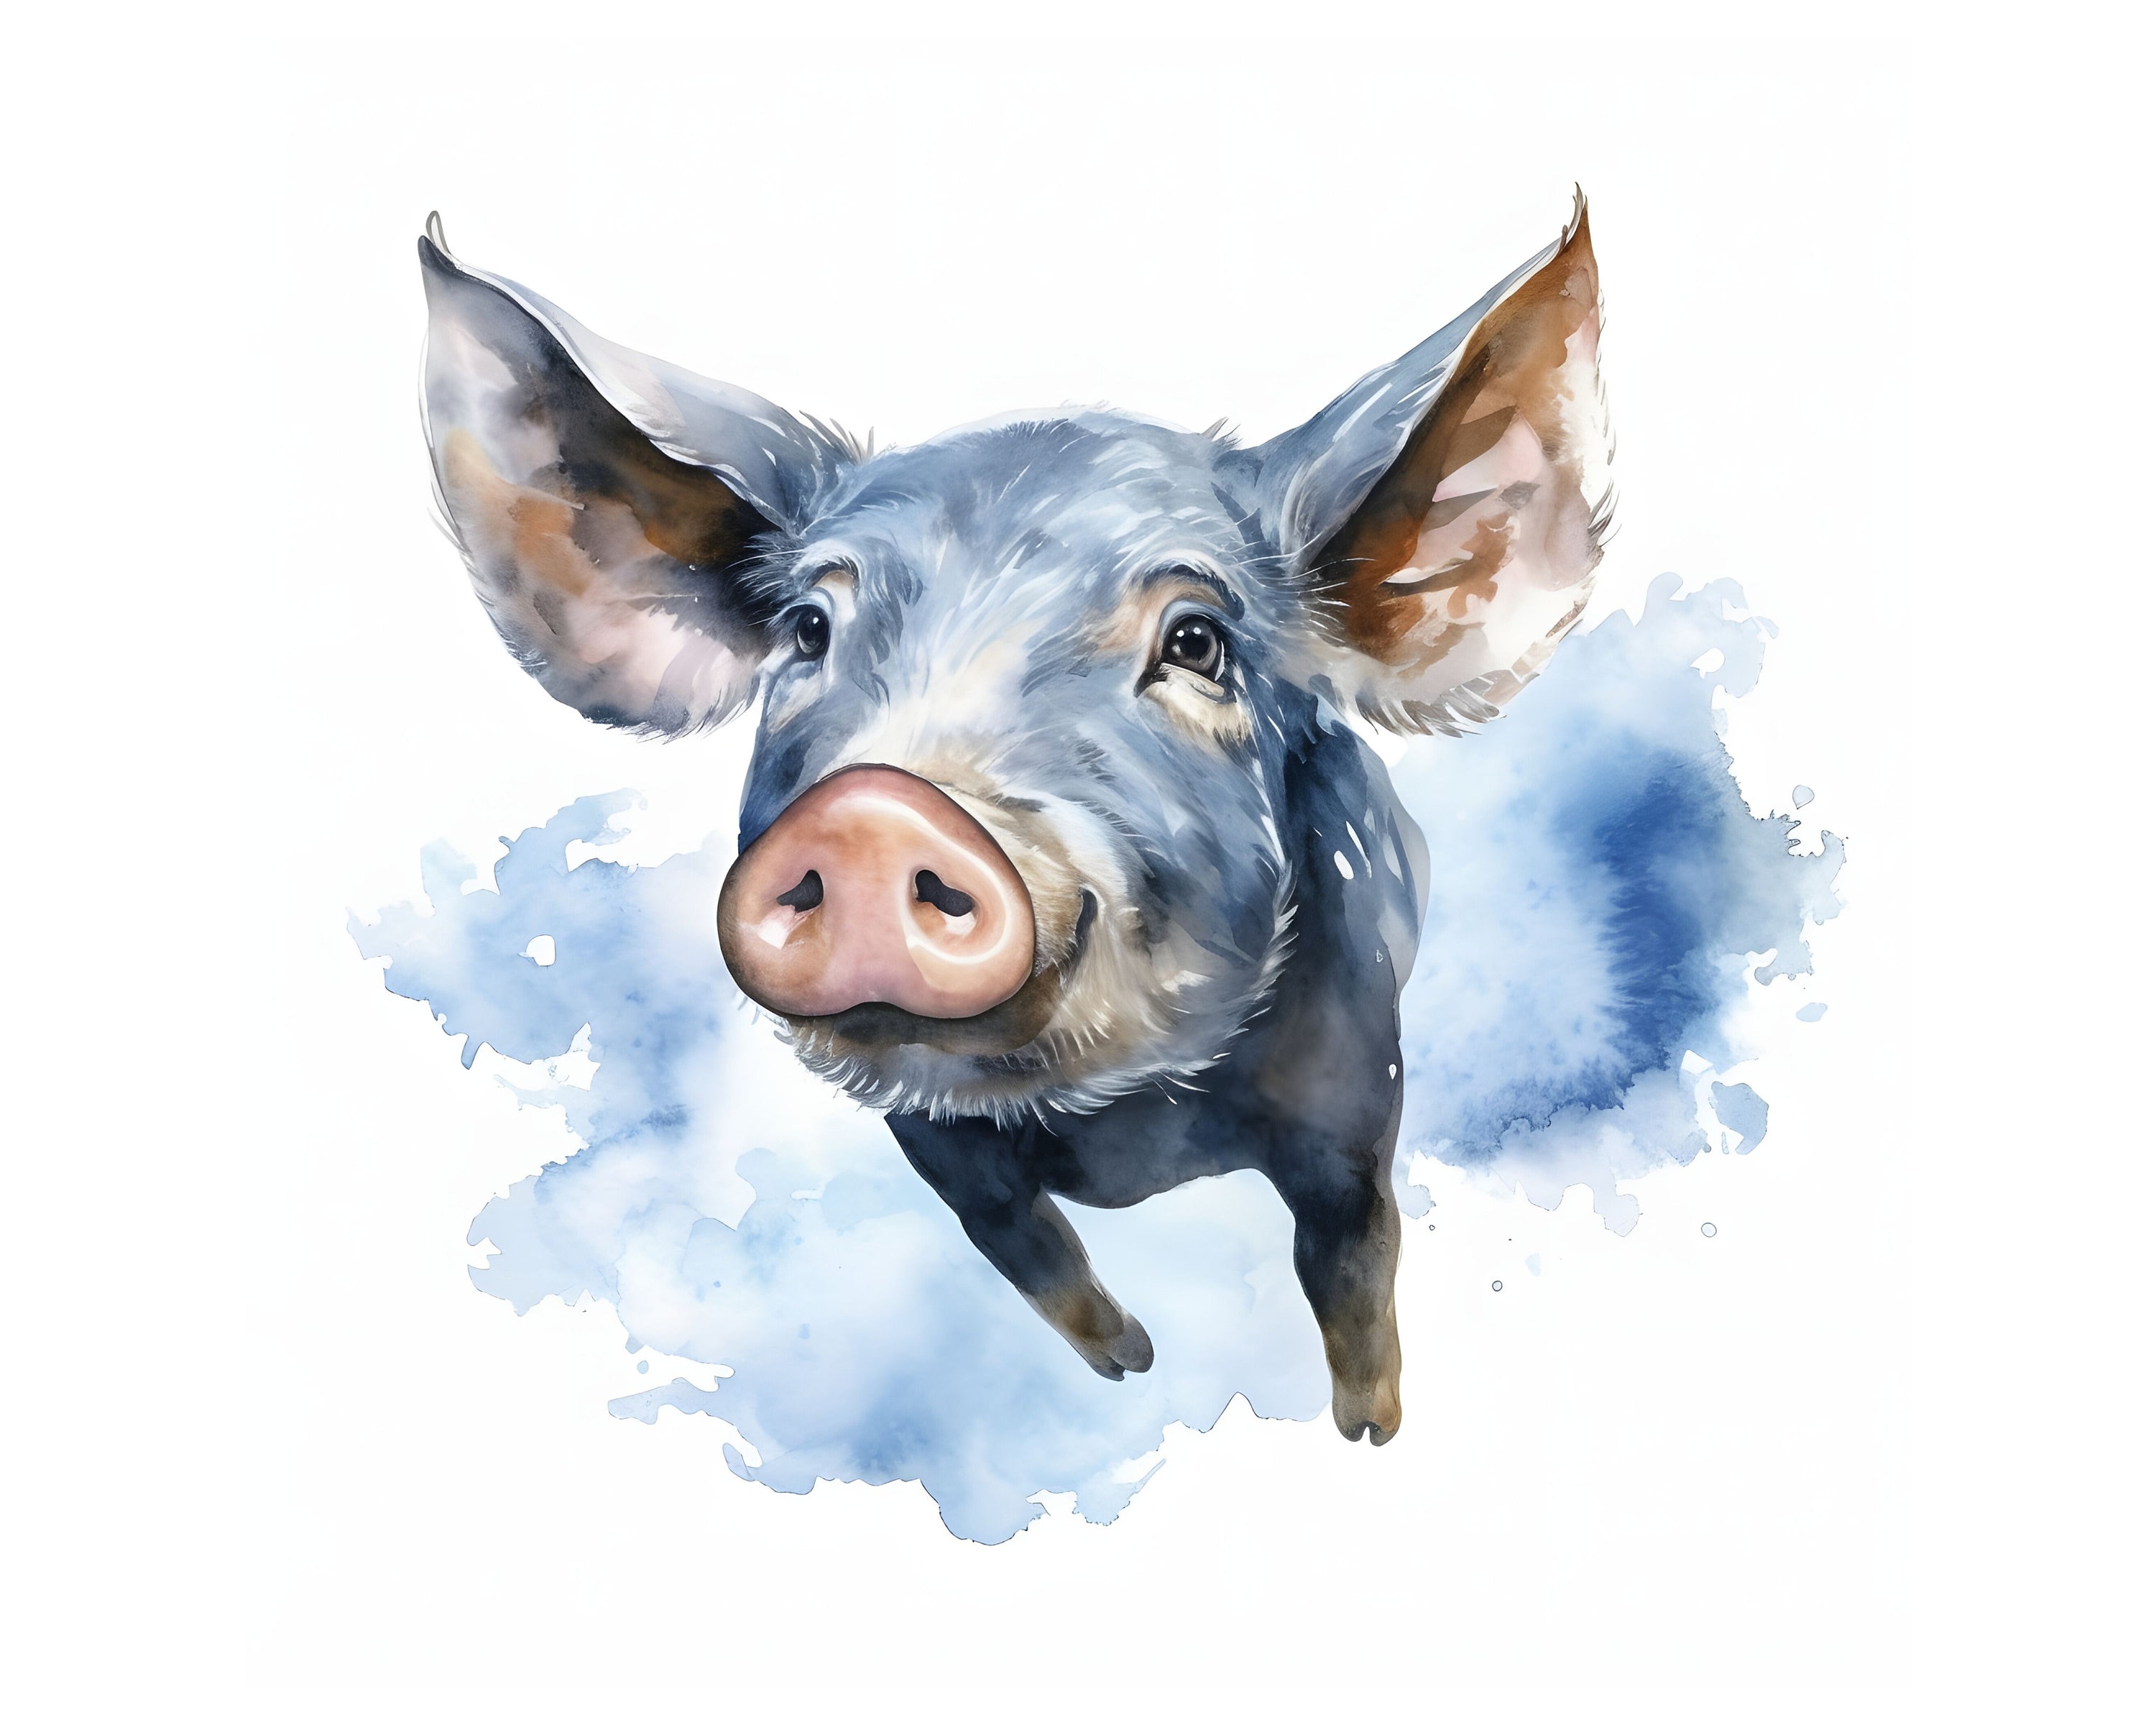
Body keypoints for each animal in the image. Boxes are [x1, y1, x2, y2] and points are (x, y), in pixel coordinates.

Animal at [417, 194, 1609, 1444]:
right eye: (808, 630)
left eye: (1197, 641)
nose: (873, 813)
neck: (1119, 1126)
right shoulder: (936, 1146)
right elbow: (1025, 1253)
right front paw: (1132, 1366)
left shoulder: (1359, 1101)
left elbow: (1353, 1274)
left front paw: (1367, 1429)